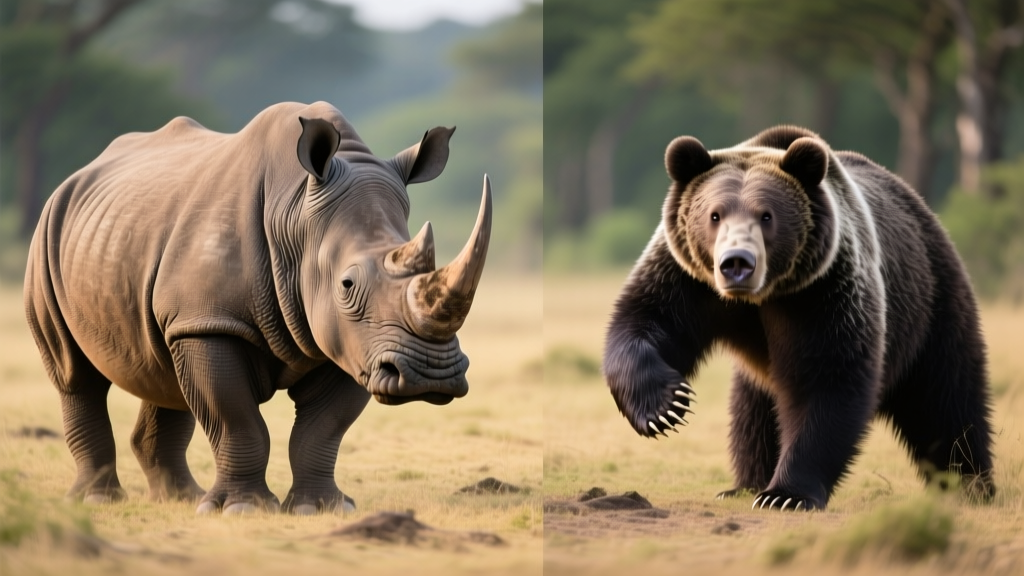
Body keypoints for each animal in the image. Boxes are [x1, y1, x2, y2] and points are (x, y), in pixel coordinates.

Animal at [24, 101, 491, 515]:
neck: (296, 215)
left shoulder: (353, 344)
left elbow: (323, 430)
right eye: (347, 285)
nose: (431, 375)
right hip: (48, 233)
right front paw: (241, 508)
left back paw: (182, 500)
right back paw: (97, 500)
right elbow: (236, 418)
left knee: (163, 371)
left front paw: (320, 508)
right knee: (74, 374)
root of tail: (78, 175)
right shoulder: (213, 322)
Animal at [603, 125, 995, 511]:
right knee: (753, 412)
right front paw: (665, 408)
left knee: (947, 401)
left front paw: (786, 494)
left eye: (766, 215)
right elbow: (646, 321)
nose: (736, 263)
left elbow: (826, 379)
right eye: (714, 215)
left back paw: (970, 486)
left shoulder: (821, 292)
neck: (760, 296)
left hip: (932, 303)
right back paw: (744, 484)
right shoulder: (688, 280)